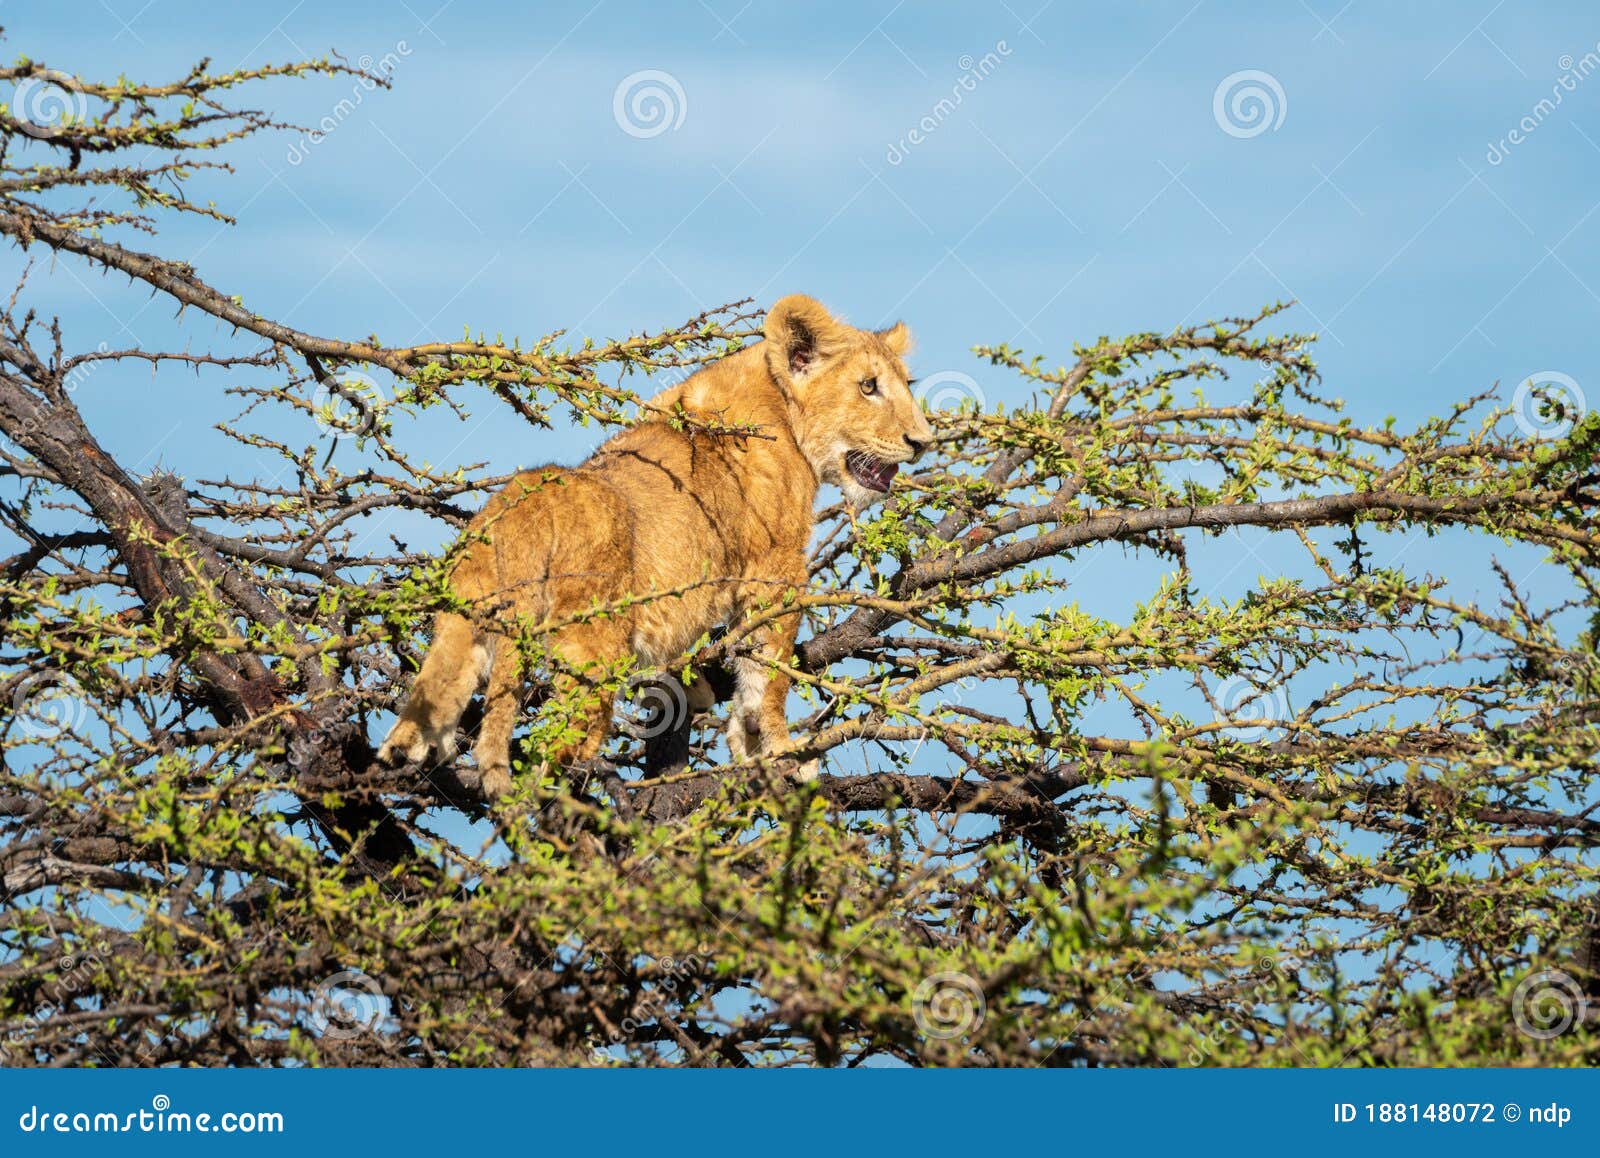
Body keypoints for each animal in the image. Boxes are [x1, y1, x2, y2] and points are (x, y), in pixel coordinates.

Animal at [376, 294, 933, 799]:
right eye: (868, 387)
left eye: (905, 386)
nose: (923, 441)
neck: (781, 408)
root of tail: (525, 510)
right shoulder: (775, 567)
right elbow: (768, 672)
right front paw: (777, 749)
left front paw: (715, 709)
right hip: (592, 653)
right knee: (557, 751)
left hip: (462, 620)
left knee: (430, 703)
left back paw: (403, 757)